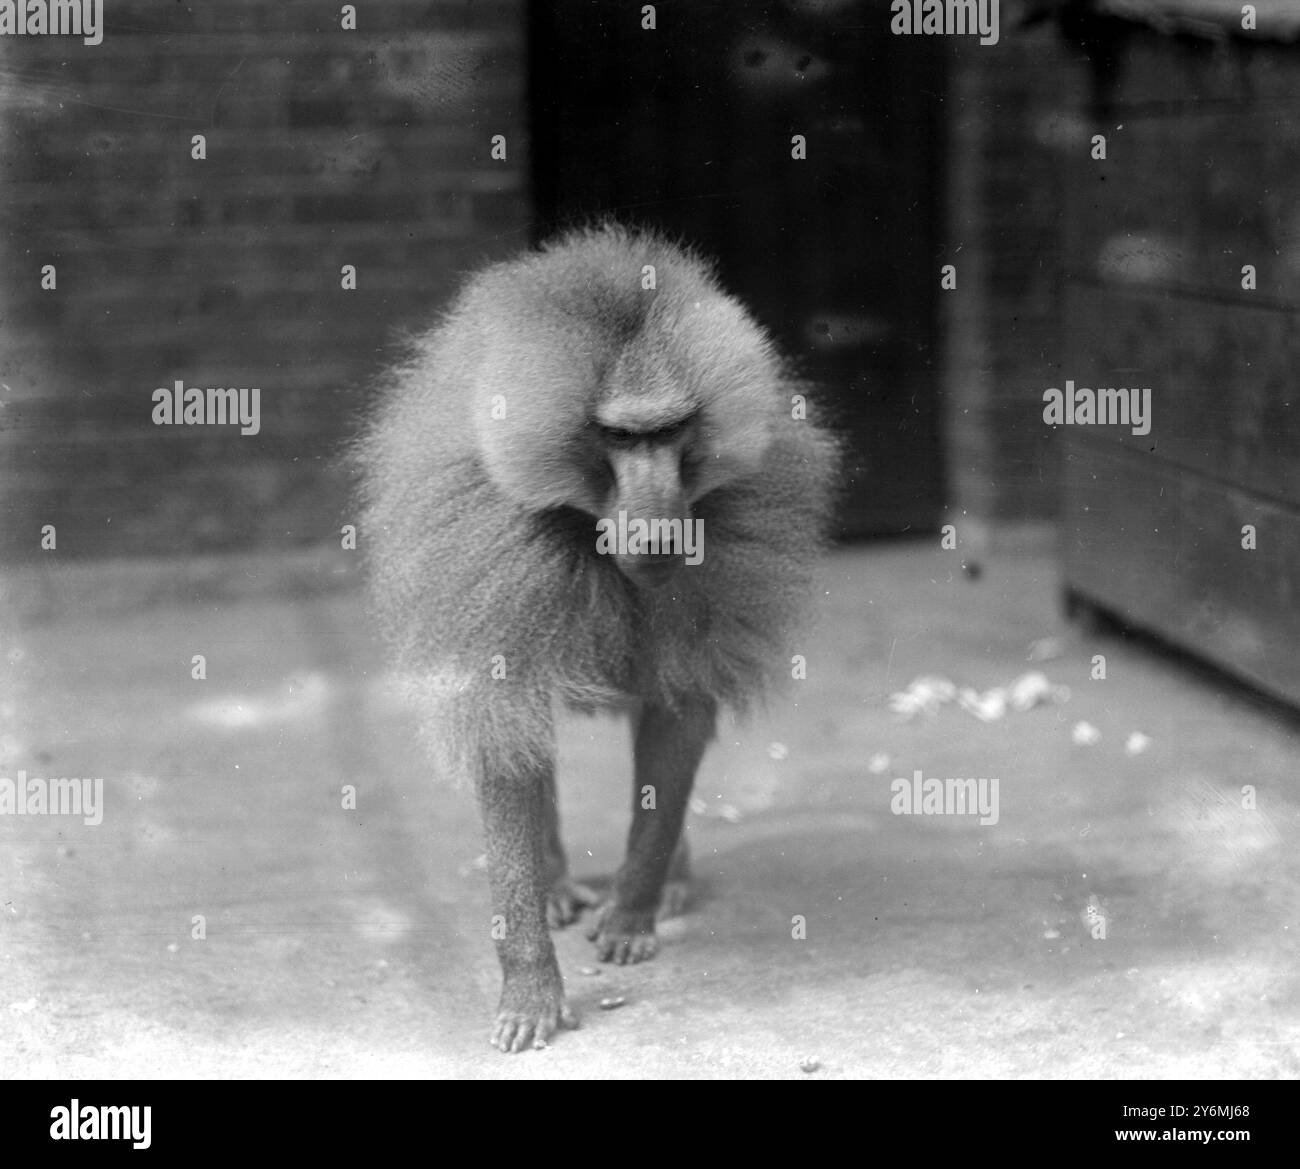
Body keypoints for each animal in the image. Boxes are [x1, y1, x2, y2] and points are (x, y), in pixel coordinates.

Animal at [356, 223, 839, 1052]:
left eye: (673, 431)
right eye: (616, 436)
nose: (663, 531)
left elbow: (678, 718)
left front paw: (632, 910)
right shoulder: (498, 552)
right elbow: (505, 742)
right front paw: (530, 984)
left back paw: (669, 876)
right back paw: (553, 883)